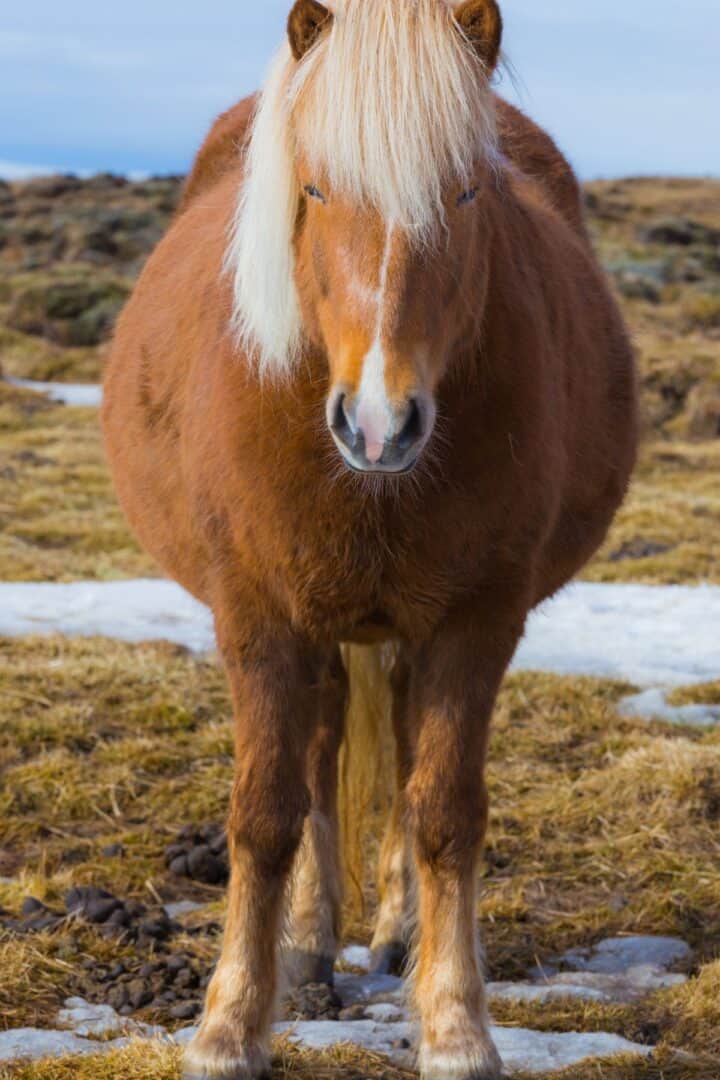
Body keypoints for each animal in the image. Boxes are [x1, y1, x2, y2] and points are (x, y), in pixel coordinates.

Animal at [102, 1, 637, 1076]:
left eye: (466, 192)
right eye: (313, 187)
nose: (381, 424)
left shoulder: (477, 620)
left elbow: (443, 813)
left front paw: (457, 1025)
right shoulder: (259, 615)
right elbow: (265, 814)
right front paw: (229, 1026)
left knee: (393, 753)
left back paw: (394, 934)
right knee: (316, 762)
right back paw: (310, 944)